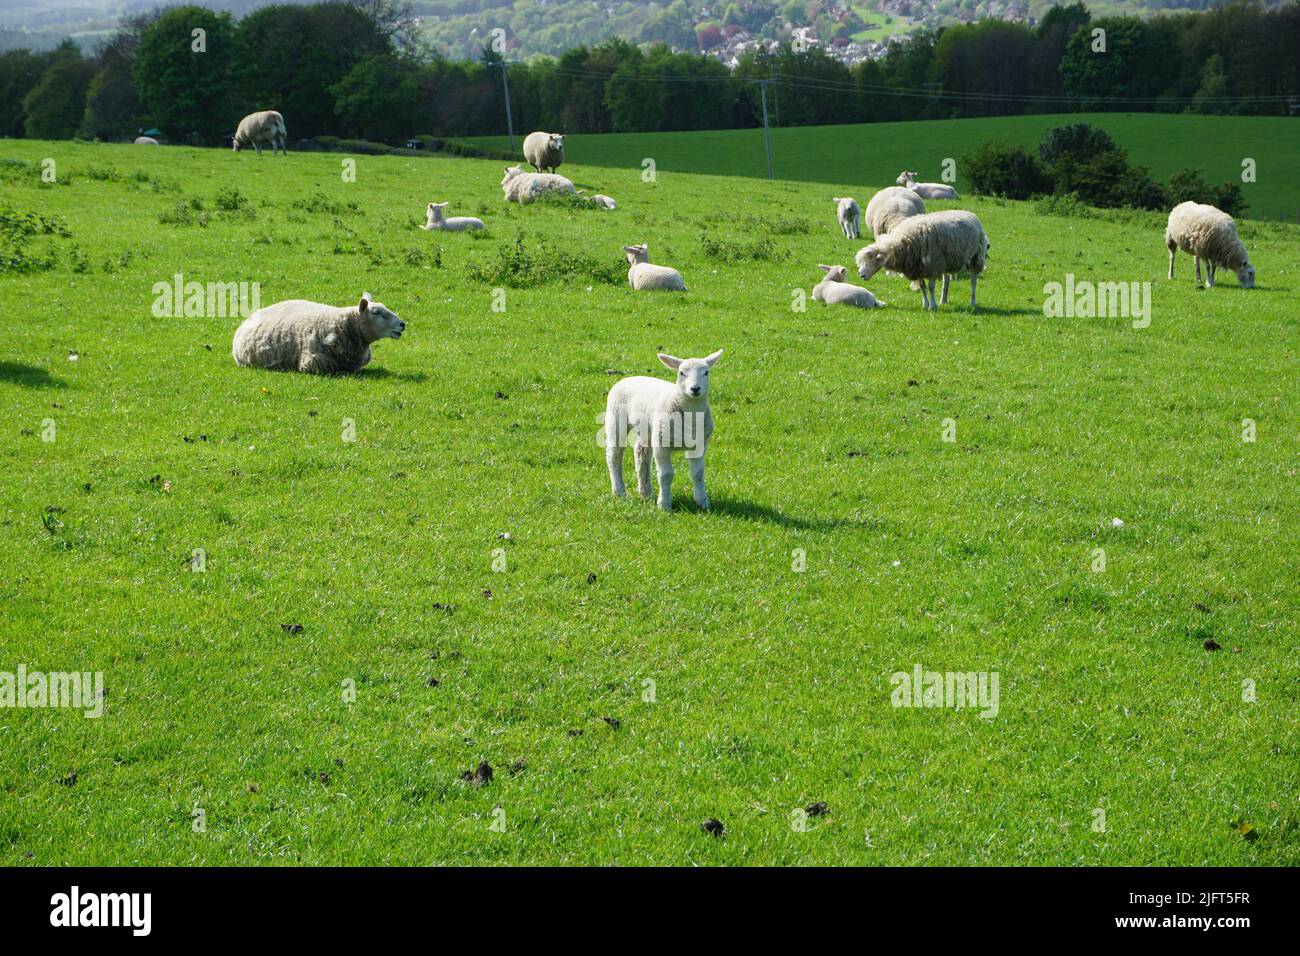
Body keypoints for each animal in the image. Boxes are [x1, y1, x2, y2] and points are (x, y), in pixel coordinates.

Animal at [604, 350, 723, 511]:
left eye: (706, 372)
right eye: (681, 373)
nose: (695, 389)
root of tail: (628, 378)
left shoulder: (700, 444)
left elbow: (698, 474)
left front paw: (702, 502)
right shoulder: (662, 444)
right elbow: (666, 474)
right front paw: (664, 504)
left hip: (648, 430)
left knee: (641, 454)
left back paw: (646, 492)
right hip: (615, 418)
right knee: (614, 455)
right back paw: (619, 491)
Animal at [855, 210, 988, 311]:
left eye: (871, 261)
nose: (860, 275)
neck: (905, 243)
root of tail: (969, 213)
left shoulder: (933, 266)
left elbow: (931, 287)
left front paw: (932, 306)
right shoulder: (917, 268)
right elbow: (923, 287)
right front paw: (925, 304)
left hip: (976, 257)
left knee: (973, 281)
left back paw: (973, 302)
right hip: (947, 261)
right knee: (946, 282)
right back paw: (943, 301)